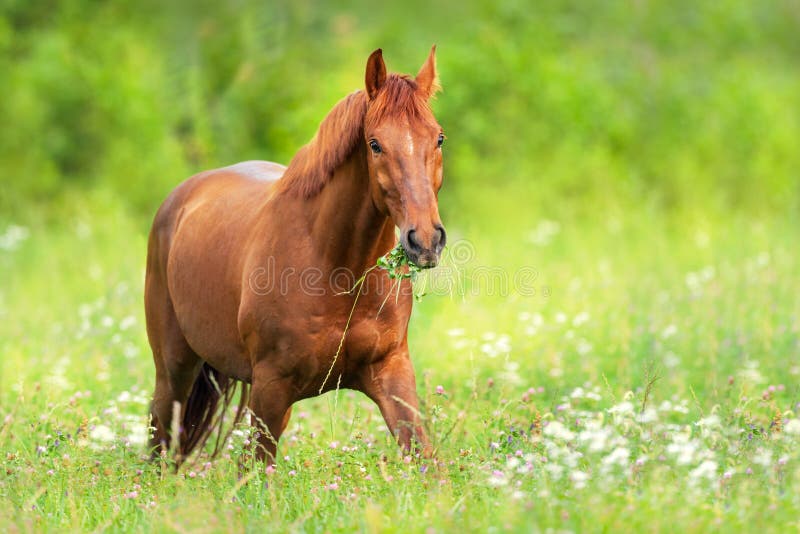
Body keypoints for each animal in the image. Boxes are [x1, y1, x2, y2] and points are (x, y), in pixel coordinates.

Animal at [145, 47, 447, 466]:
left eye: (438, 138)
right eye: (375, 144)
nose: (425, 240)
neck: (336, 270)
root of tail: (181, 197)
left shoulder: (392, 373)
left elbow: (424, 460)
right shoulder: (270, 391)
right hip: (175, 371)